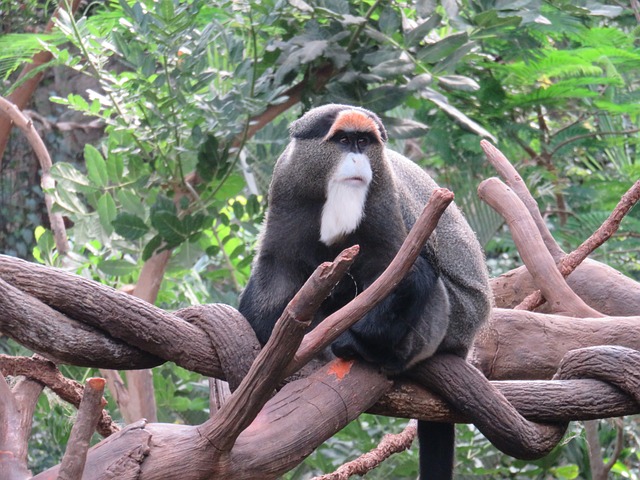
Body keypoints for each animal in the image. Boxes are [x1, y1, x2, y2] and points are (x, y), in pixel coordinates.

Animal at [238, 104, 492, 480]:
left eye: (364, 141)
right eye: (344, 141)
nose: (358, 158)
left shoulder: (387, 200)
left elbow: (407, 272)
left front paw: (353, 342)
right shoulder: (286, 188)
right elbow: (278, 269)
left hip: (453, 325)